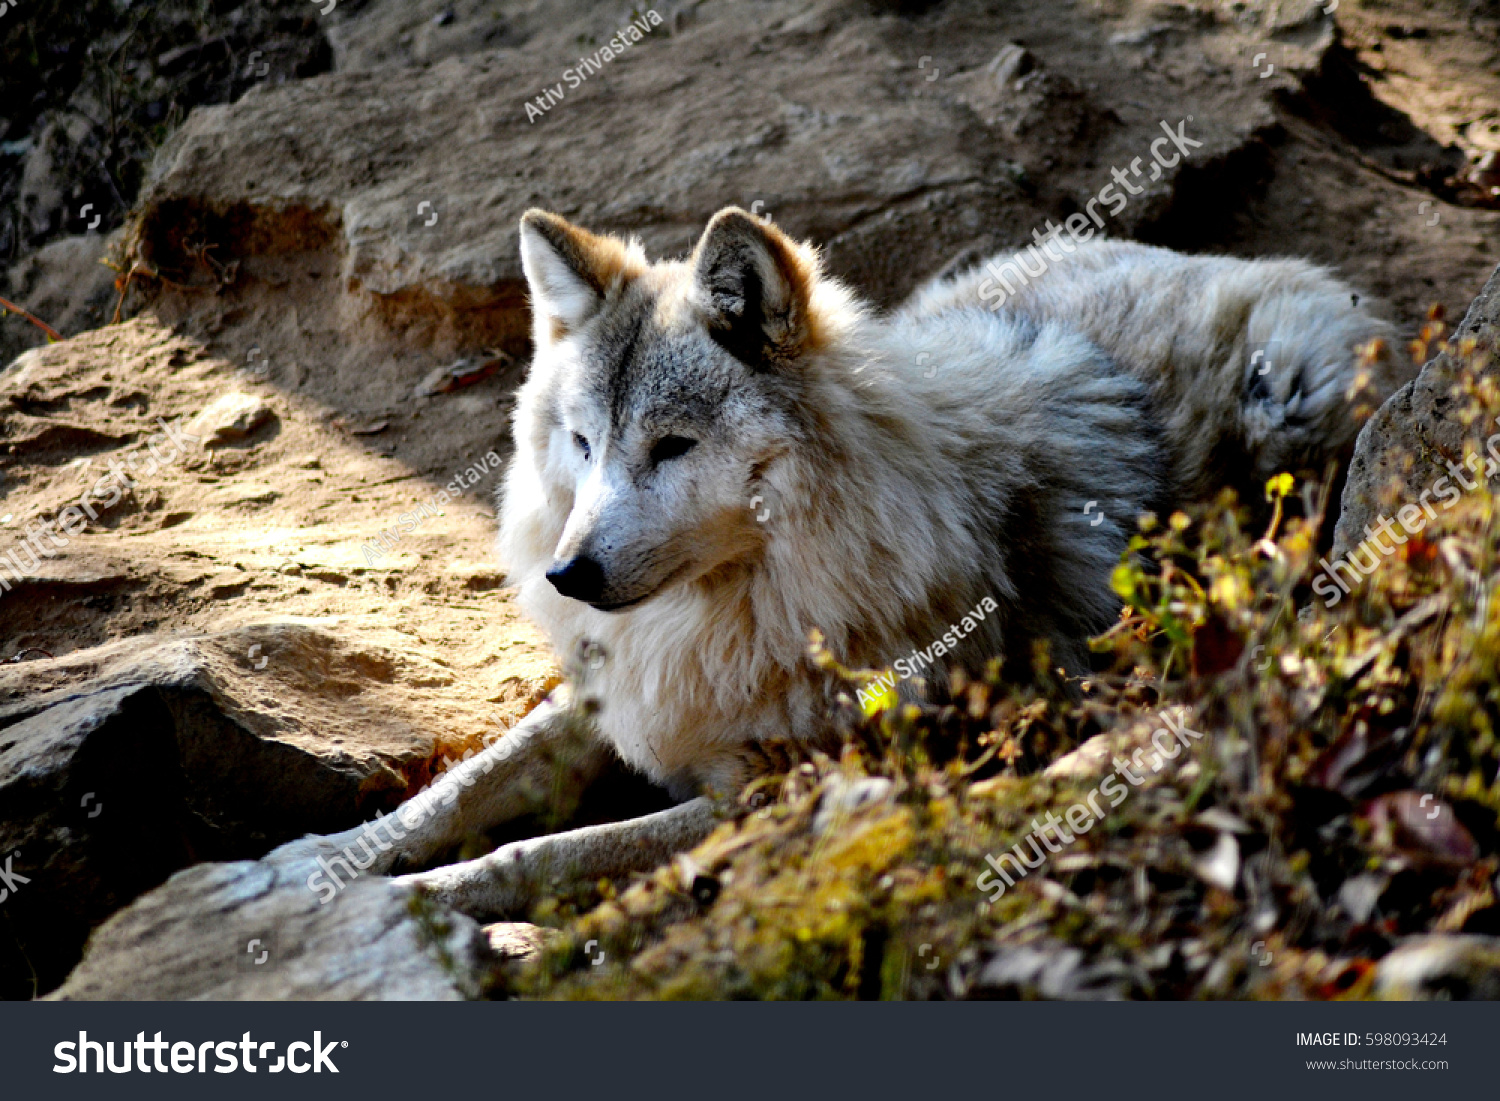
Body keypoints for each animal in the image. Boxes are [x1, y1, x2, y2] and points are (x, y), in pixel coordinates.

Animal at [279, 208, 1403, 919]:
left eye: (672, 447)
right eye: (585, 444)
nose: (569, 577)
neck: (745, 609)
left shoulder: (777, 792)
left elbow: (540, 850)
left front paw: (414, 901)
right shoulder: (621, 688)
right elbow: (462, 790)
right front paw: (310, 867)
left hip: (1283, 397)